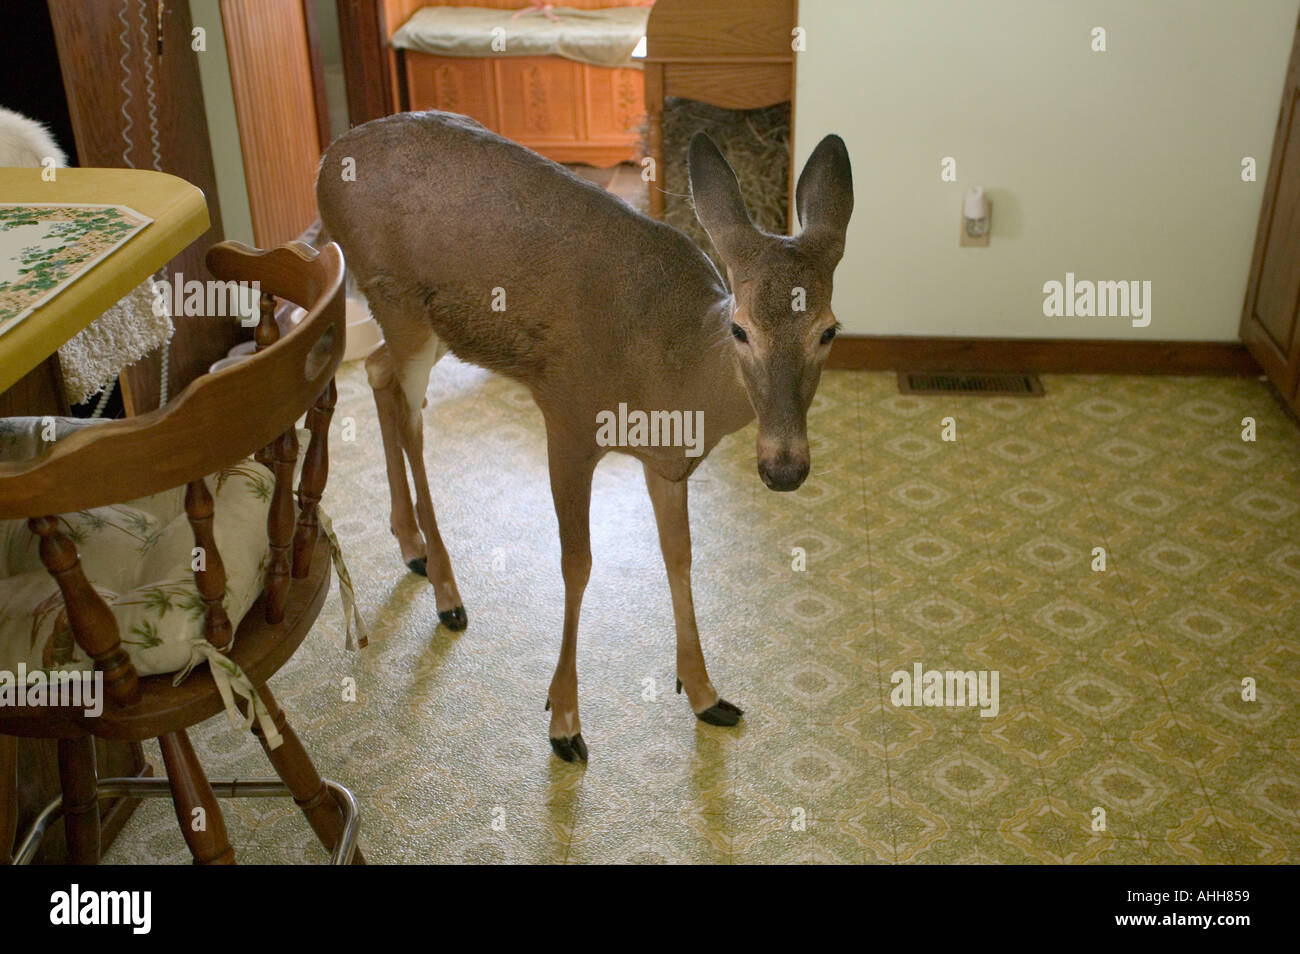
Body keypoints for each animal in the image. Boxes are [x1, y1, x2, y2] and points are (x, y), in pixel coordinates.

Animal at [316, 110, 853, 762]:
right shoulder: (568, 419)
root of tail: (326, 164)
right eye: (740, 328)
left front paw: (705, 694)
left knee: (376, 372)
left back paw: (412, 547)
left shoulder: (663, 461)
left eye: (828, 330)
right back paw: (448, 591)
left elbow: (680, 554)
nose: (784, 468)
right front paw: (564, 721)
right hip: (399, 303)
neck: (669, 368)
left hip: (429, 326)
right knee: (409, 412)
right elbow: (577, 563)